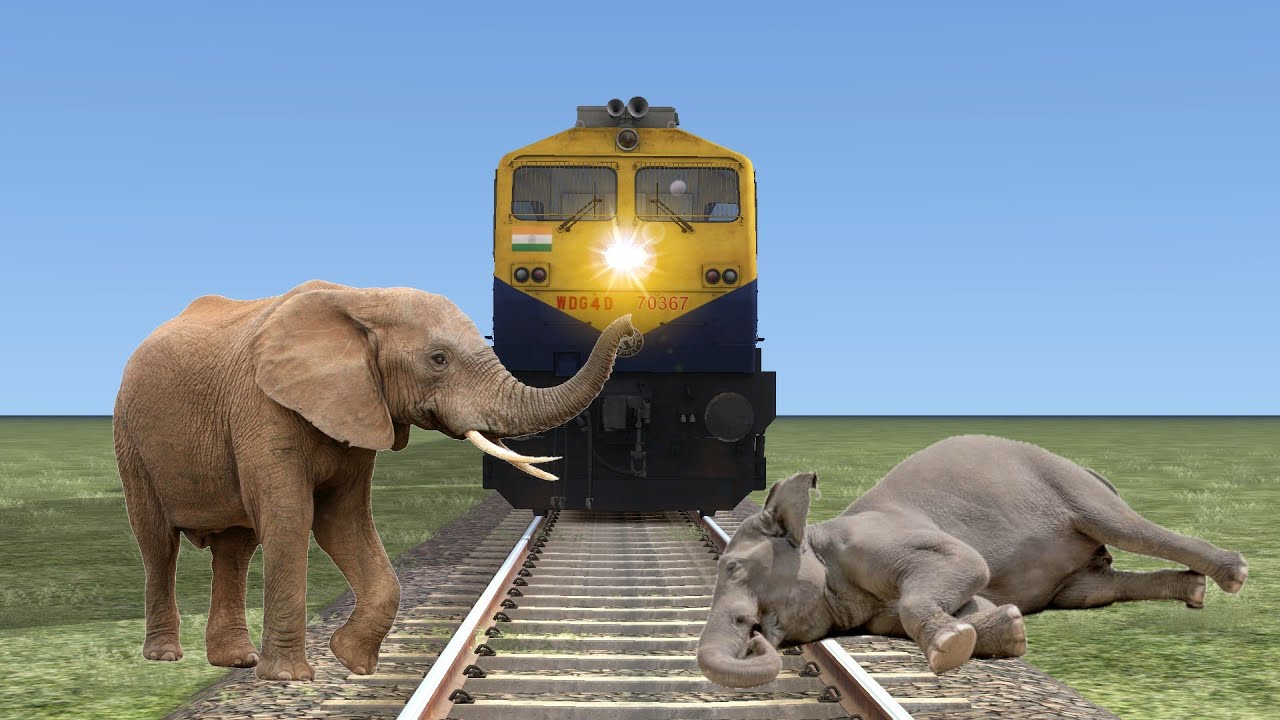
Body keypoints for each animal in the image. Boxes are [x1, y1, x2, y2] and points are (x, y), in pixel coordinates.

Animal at [113, 280, 636, 680]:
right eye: (438, 359)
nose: (631, 328)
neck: (363, 299)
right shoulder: (263, 408)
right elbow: (290, 518)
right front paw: (290, 679)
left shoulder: (360, 410)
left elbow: (341, 522)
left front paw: (352, 663)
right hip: (131, 438)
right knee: (158, 543)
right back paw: (166, 656)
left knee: (234, 548)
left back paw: (237, 660)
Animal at [697, 434, 1249, 687]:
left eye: (733, 568)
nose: (756, 637)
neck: (818, 537)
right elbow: (974, 600)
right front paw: (1008, 630)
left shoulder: (876, 541)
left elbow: (968, 562)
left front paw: (950, 647)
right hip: (1082, 572)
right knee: (1097, 588)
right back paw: (1192, 591)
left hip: (1071, 486)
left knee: (1128, 528)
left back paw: (1232, 575)